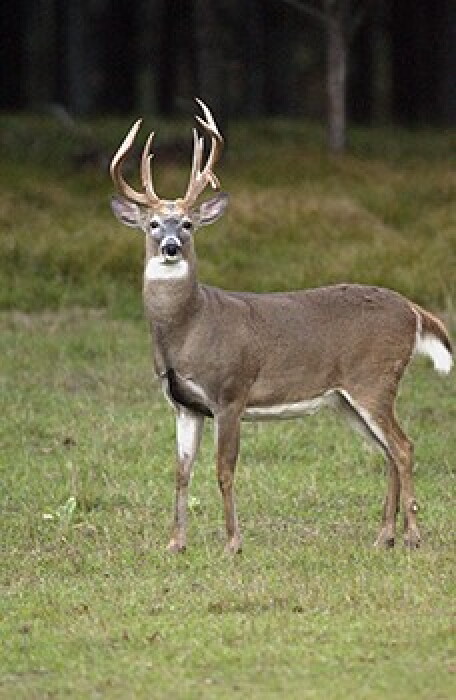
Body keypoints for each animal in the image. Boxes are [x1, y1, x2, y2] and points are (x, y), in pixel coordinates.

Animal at [109, 99, 453, 554]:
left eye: (187, 224)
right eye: (153, 224)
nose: (170, 247)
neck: (188, 330)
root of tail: (414, 310)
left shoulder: (230, 392)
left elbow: (224, 470)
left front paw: (233, 543)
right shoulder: (184, 404)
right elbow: (181, 472)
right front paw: (175, 544)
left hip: (374, 378)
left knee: (404, 446)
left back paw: (412, 536)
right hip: (347, 399)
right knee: (388, 452)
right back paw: (384, 537)